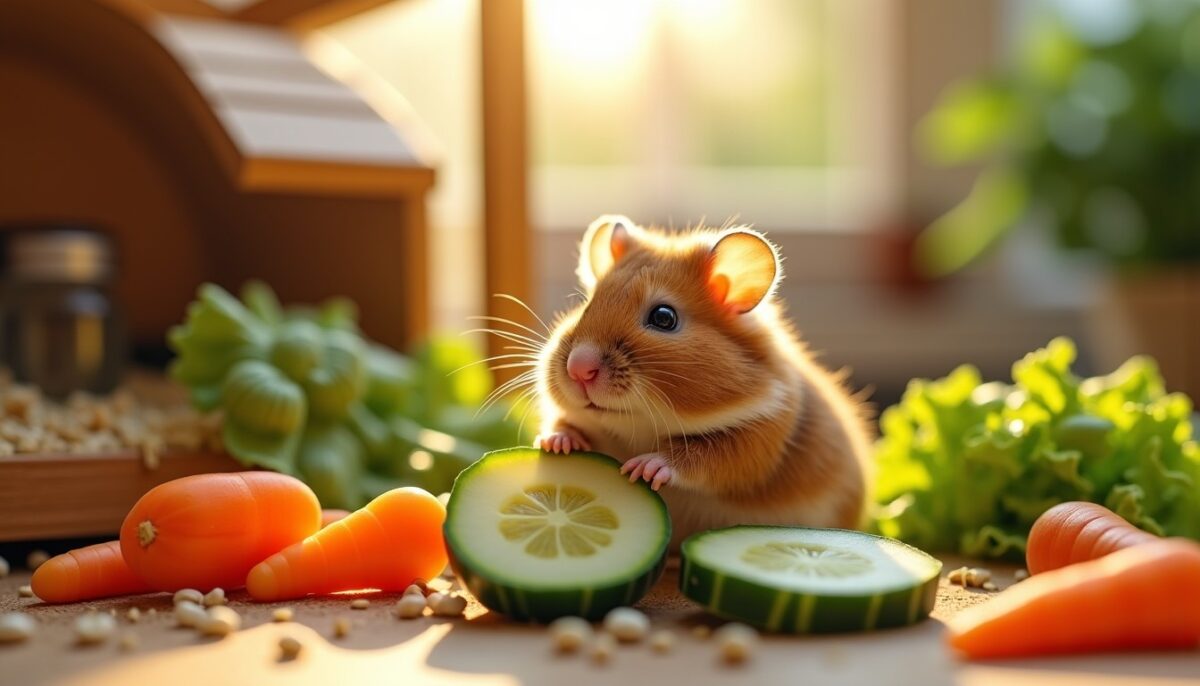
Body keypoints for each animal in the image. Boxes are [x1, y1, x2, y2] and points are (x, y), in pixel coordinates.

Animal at [535, 215, 872, 548]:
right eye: (587, 304)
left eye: (664, 317)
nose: (579, 368)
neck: (640, 428)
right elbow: (563, 423)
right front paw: (557, 443)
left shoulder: (760, 436)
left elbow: (703, 459)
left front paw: (643, 468)